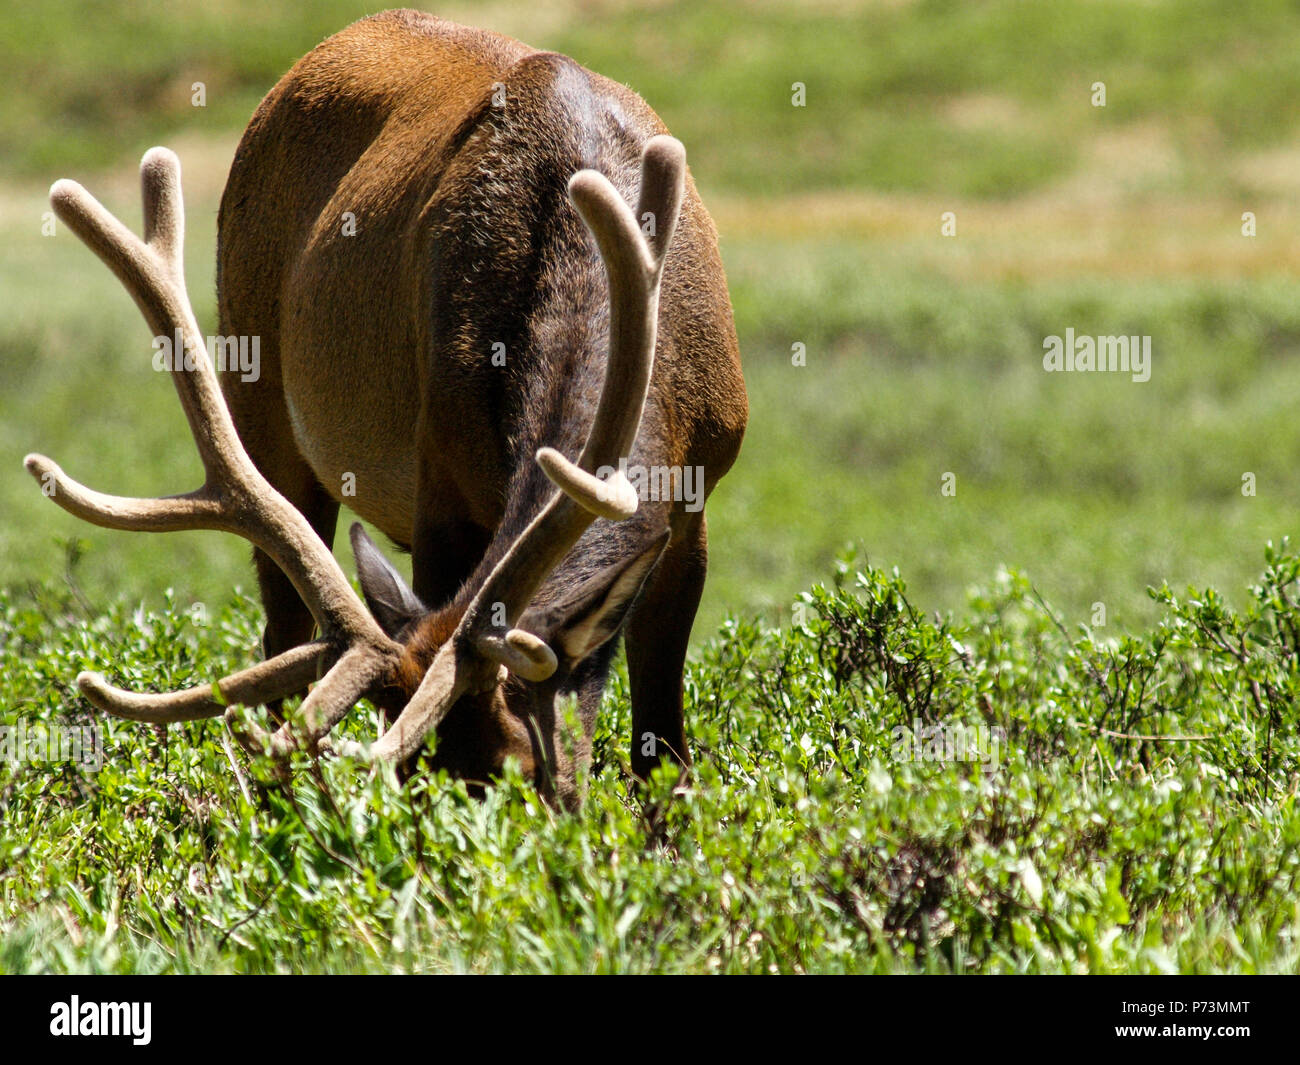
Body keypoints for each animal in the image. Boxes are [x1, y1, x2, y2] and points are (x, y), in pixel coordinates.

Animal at [24, 10, 747, 808]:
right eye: (415, 773)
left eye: (520, 777)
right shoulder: (441, 487)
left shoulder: (698, 492)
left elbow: (664, 752)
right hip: (263, 402)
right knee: (282, 632)